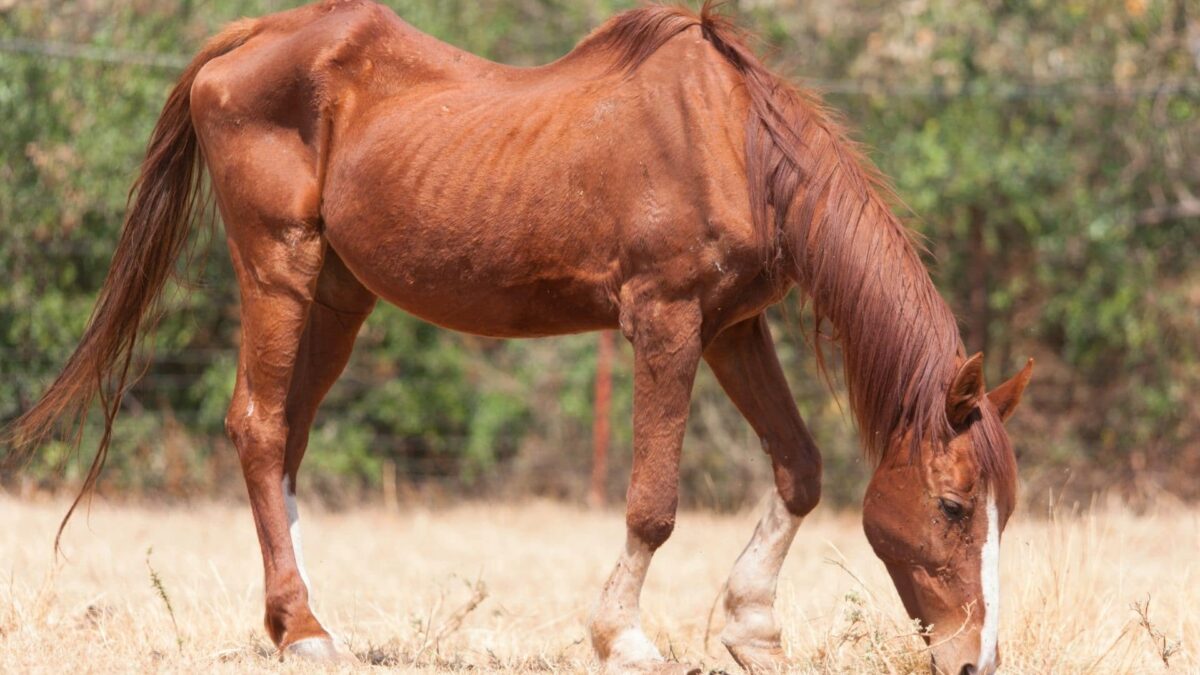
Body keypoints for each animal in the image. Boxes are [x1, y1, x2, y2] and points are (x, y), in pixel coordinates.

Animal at [6, 2, 1034, 673]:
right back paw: (302, 628)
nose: (974, 659)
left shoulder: (734, 326)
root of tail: (246, 39)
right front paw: (622, 637)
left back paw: (296, 620)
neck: (736, 145)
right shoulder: (664, 319)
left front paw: (751, 628)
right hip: (278, 268)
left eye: (1002, 513)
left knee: (288, 437)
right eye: (953, 506)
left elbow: (801, 468)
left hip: (339, 298)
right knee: (258, 426)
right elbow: (653, 502)